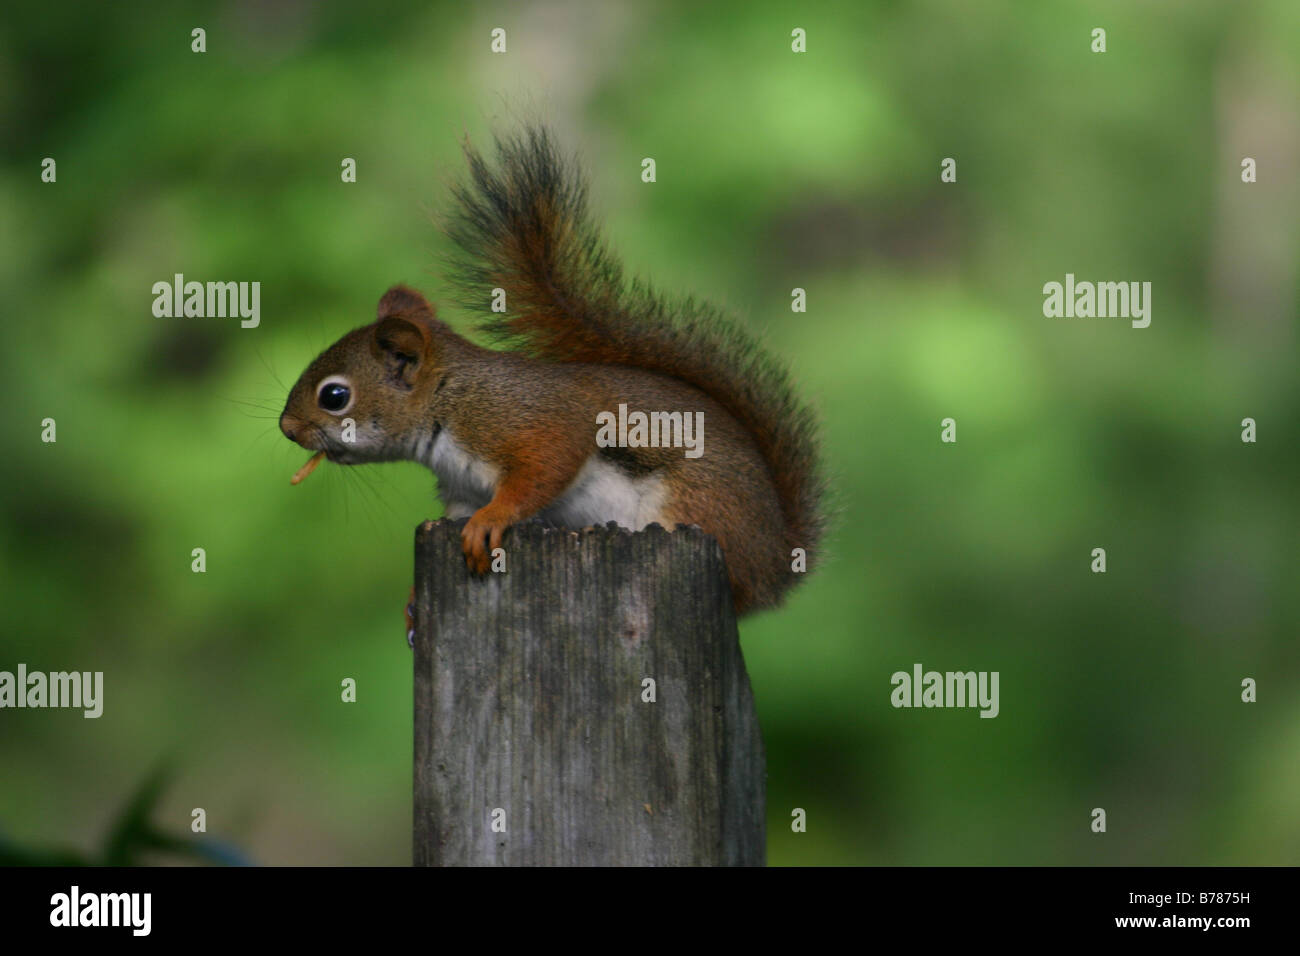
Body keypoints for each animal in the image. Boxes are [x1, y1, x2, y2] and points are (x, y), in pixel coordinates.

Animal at [279, 125, 826, 616]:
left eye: (334, 396)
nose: (286, 428)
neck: (449, 399)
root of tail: (777, 558)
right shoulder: (460, 493)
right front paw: (415, 598)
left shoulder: (526, 418)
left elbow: (547, 462)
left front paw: (493, 519)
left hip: (694, 509)